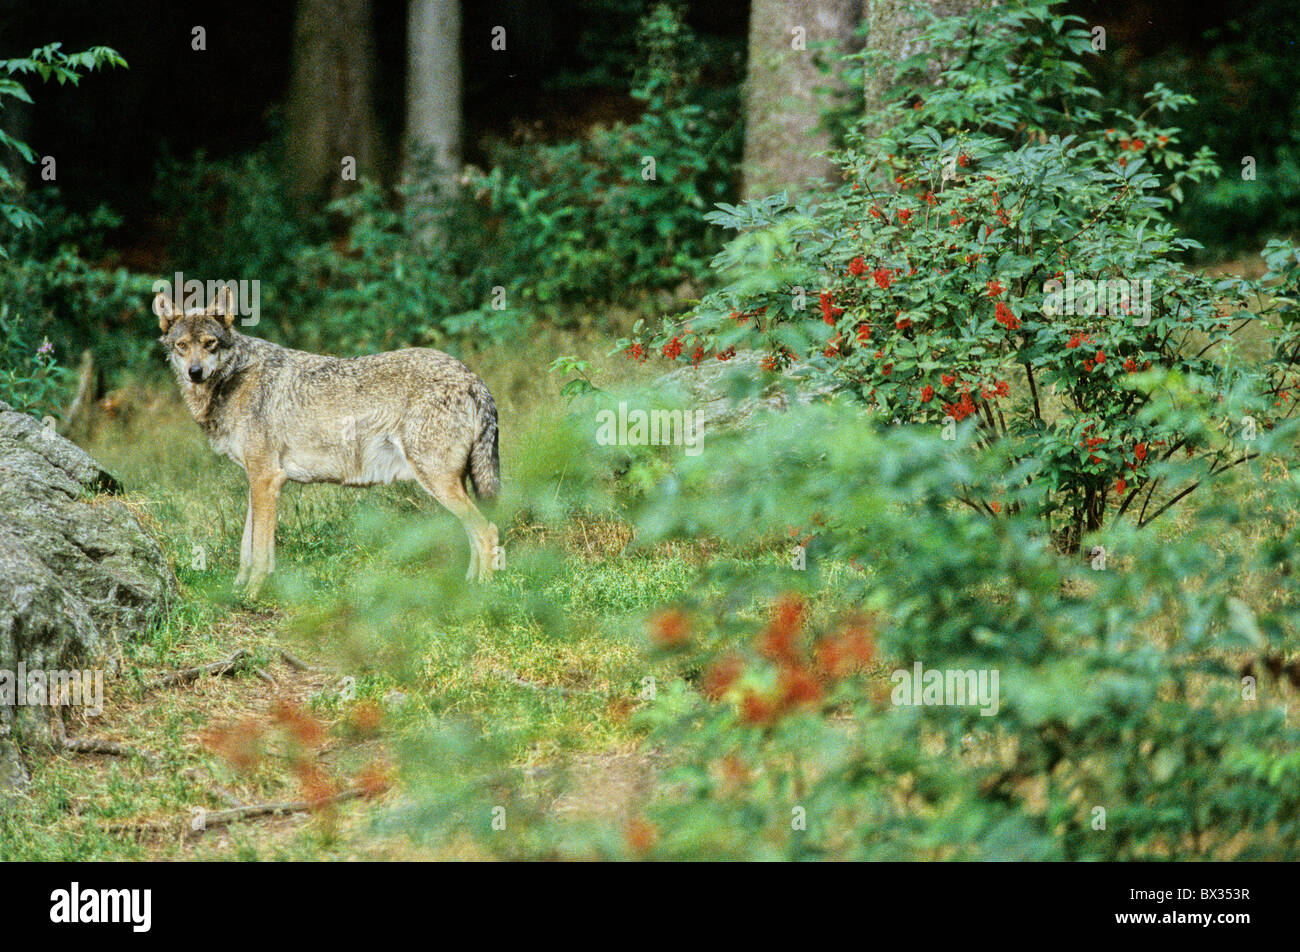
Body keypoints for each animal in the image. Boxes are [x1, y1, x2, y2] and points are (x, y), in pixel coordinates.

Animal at [155, 286, 500, 595]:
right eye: (182, 345)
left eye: (210, 344)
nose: (195, 372)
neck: (233, 380)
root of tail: (474, 379)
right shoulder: (258, 480)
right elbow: (246, 547)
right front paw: (237, 588)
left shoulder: (266, 478)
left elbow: (260, 552)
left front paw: (252, 594)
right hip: (450, 483)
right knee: (476, 532)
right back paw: (468, 585)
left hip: (437, 481)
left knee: (487, 531)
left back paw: (481, 593)